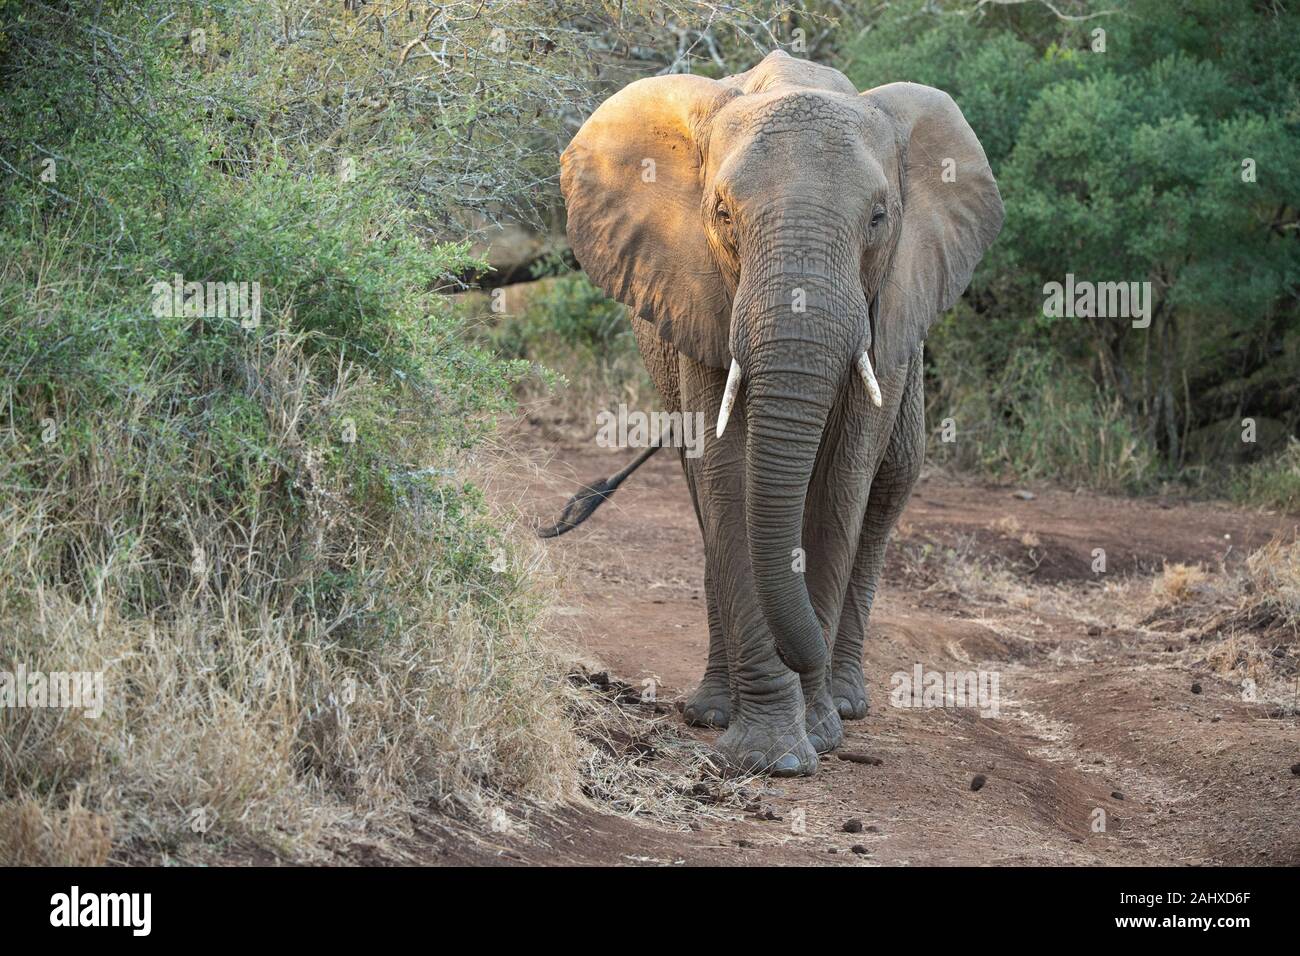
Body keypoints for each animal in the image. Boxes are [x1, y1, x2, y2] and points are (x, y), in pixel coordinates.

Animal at [553, 50, 1004, 776]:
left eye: (879, 217)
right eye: (721, 213)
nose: (803, 663)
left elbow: (842, 483)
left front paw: (816, 732)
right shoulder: (701, 300)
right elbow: (729, 477)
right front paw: (772, 755)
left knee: (889, 487)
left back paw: (846, 703)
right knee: (702, 493)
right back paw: (713, 709)